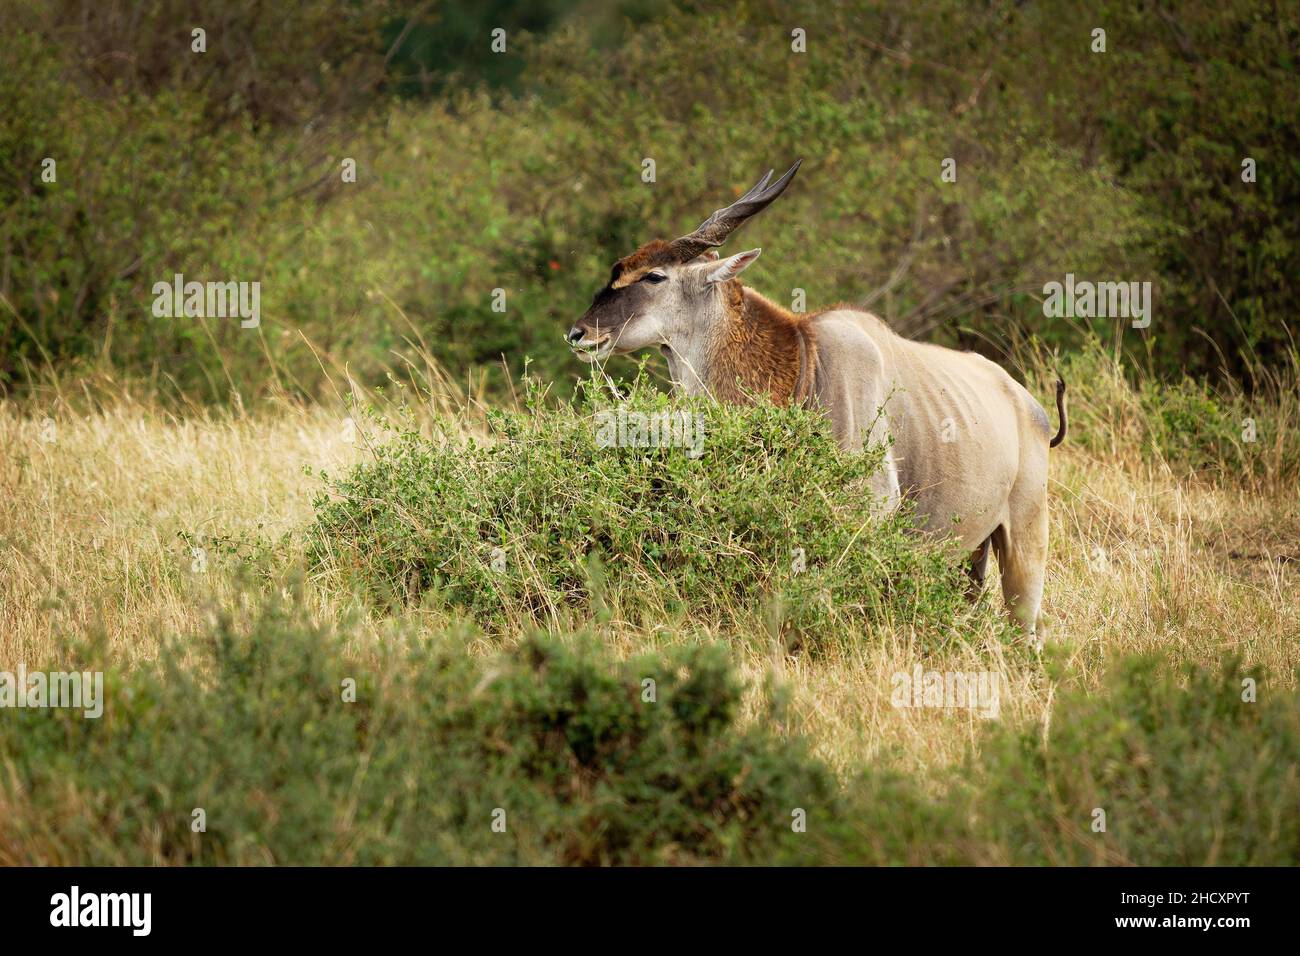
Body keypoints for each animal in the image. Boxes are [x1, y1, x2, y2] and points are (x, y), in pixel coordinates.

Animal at [567, 161, 1067, 640]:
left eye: (654, 276)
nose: (579, 333)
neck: (803, 364)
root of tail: (1030, 406)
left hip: (1025, 542)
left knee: (1030, 629)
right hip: (971, 557)